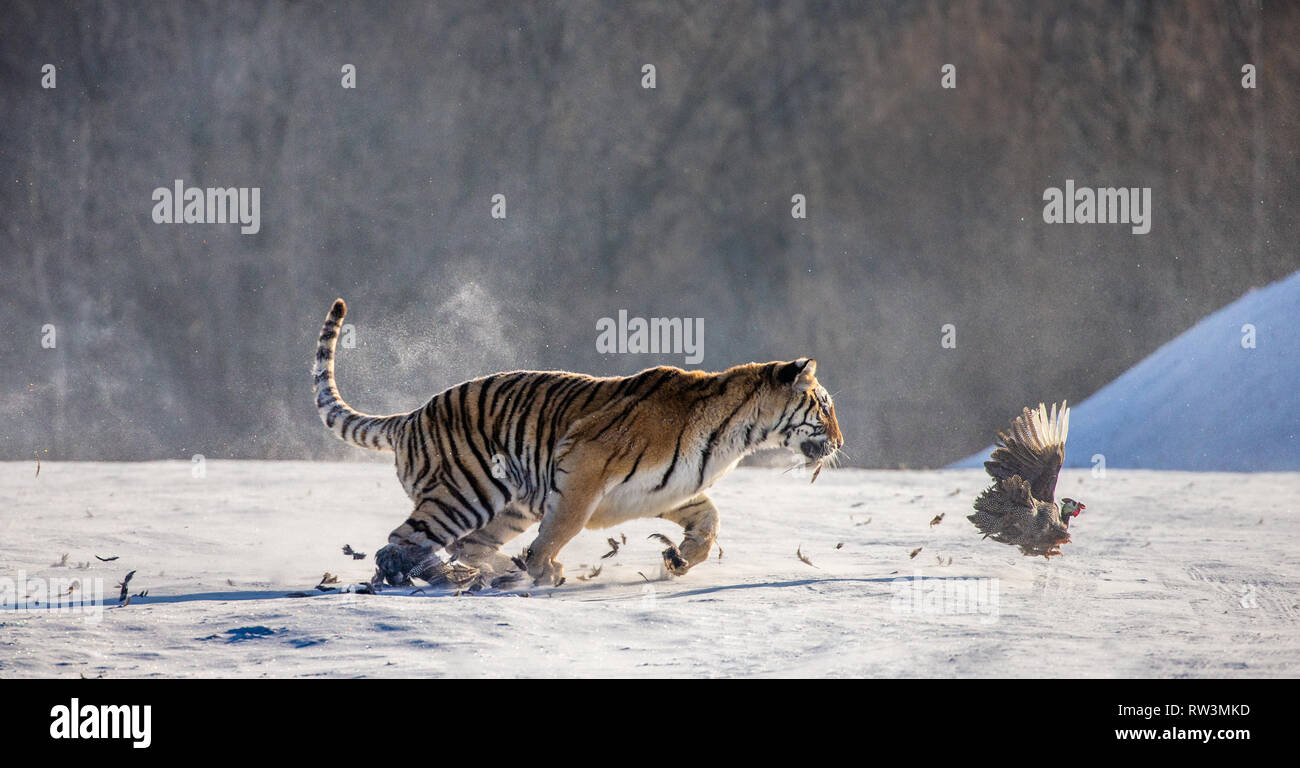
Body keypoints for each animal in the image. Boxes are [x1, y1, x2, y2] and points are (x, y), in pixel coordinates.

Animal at [313, 298, 843, 588]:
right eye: (825, 407)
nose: (840, 441)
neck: (739, 434)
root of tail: (409, 417)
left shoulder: (668, 489)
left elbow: (710, 518)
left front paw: (679, 559)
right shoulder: (583, 466)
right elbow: (562, 527)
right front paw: (543, 568)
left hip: (510, 502)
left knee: (464, 544)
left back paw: (493, 573)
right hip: (465, 491)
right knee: (400, 545)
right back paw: (449, 579)